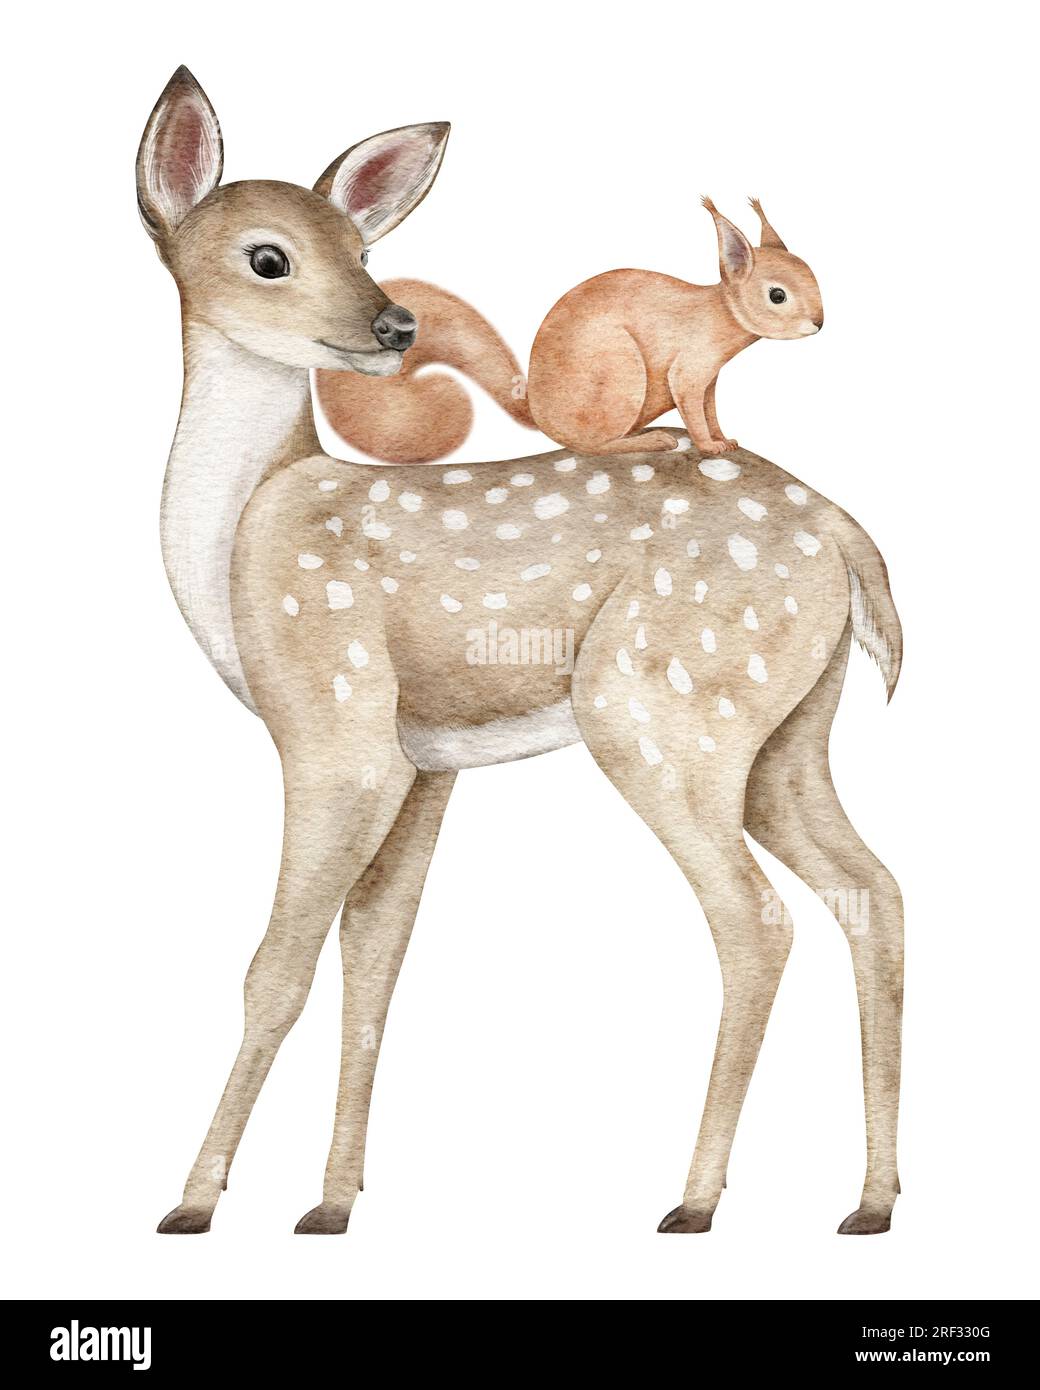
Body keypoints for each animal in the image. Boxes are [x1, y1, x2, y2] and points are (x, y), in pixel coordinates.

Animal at [141, 67, 904, 1238]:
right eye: (269, 256)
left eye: (361, 247)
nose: (394, 320)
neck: (241, 532)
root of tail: (844, 536)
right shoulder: (422, 762)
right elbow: (377, 958)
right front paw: (331, 1204)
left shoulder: (334, 716)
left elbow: (276, 966)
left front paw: (193, 1201)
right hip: (784, 727)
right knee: (873, 890)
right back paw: (869, 1202)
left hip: (655, 701)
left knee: (756, 917)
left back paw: (692, 1201)